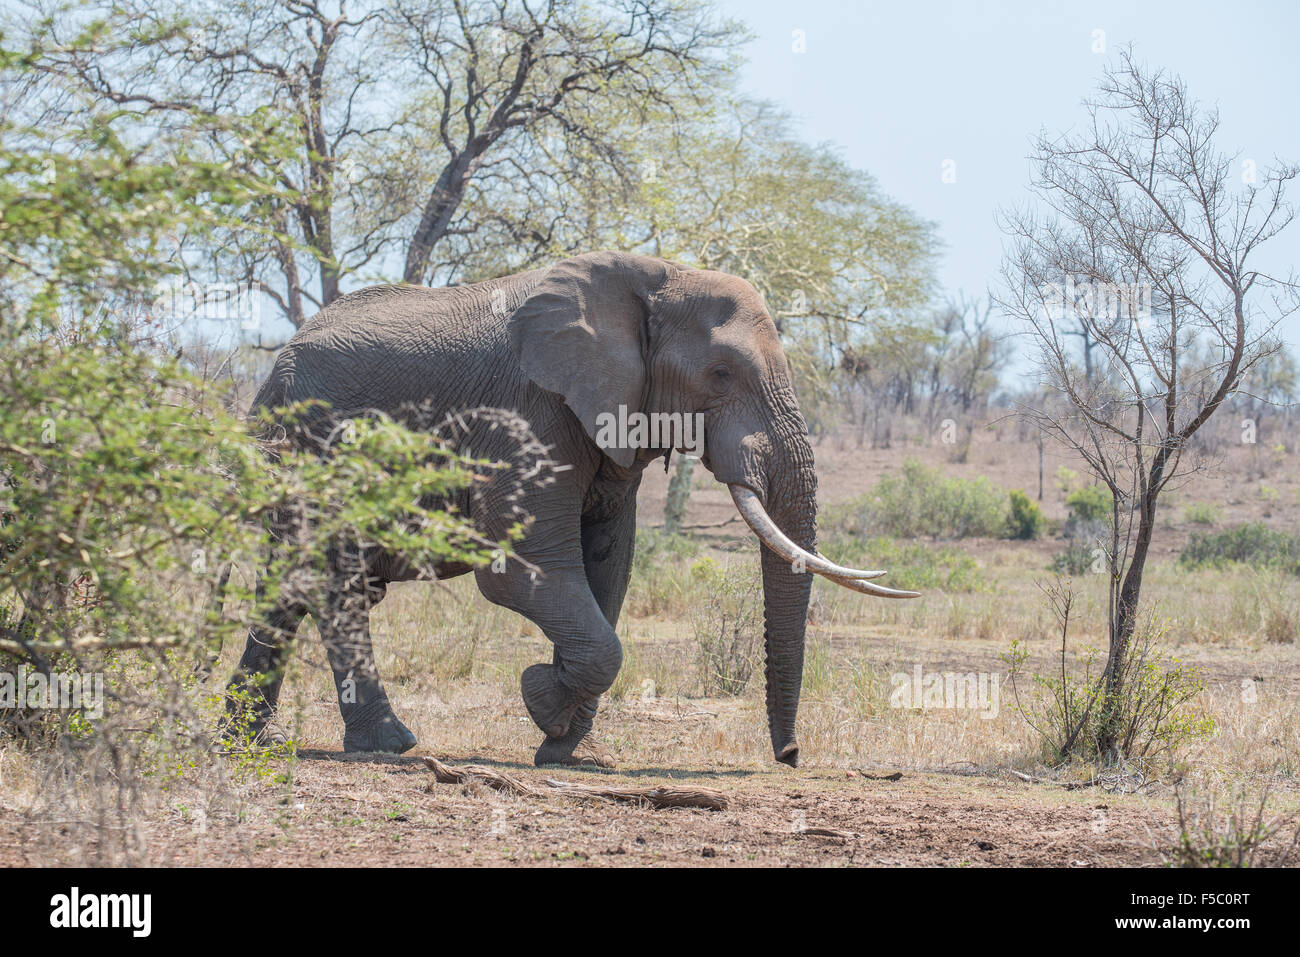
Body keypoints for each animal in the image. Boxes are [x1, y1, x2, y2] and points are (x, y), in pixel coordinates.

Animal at [225, 251, 917, 769]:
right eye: (721, 373)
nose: (790, 756)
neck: (653, 278)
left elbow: (607, 570)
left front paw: (562, 744)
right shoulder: (528, 413)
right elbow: (521, 572)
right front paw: (541, 698)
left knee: (291, 587)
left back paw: (249, 741)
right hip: (313, 448)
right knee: (333, 585)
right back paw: (388, 746)